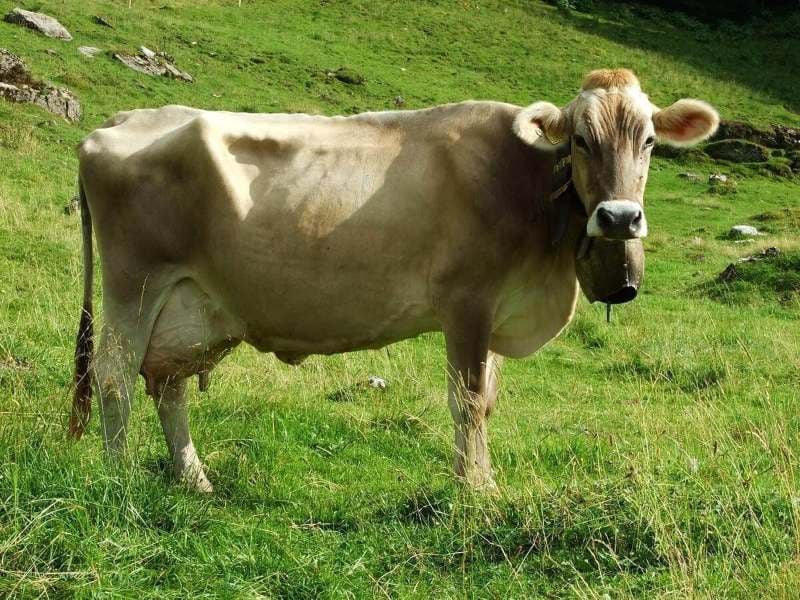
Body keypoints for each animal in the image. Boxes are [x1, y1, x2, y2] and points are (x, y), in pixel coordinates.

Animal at [69, 69, 718, 491]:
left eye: (650, 141)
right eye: (581, 139)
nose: (619, 218)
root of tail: (121, 121)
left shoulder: (497, 310)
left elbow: (489, 401)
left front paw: (480, 480)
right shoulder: (466, 303)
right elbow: (467, 401)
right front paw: (475, 492)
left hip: (188, 303)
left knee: (167, 384)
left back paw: (193, 478)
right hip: (133, 284)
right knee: (115, 376)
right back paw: (119, 481)